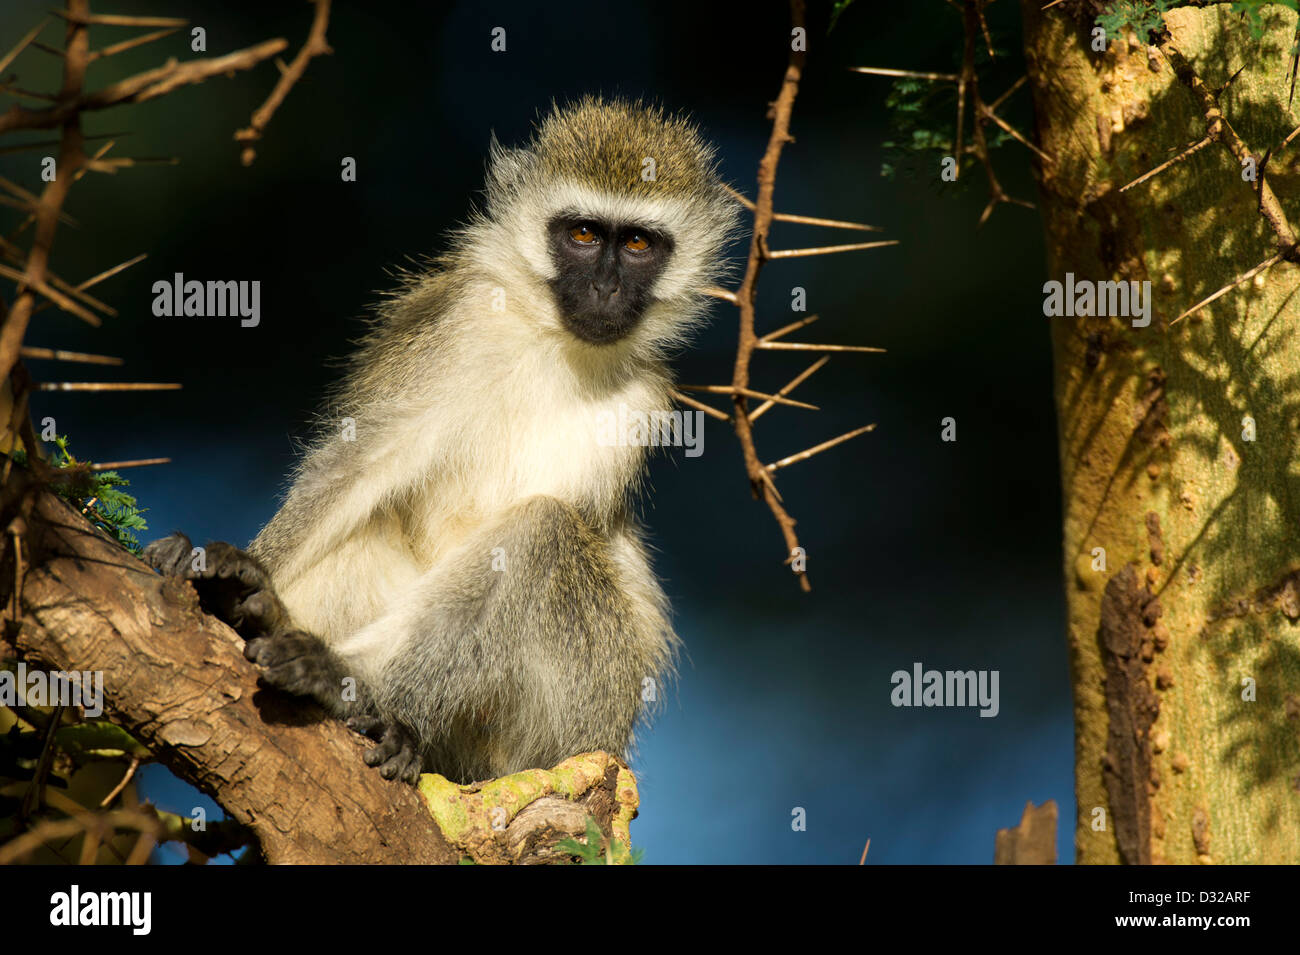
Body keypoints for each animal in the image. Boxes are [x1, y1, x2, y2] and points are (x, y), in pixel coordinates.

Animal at [144, 97, 739, 786]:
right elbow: (364, 464)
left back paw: (347, 684)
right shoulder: (459, 327)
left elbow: (575, 529)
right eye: (584, 235)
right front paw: (238, 575)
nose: (605, 289)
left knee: (543, 534)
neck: (553, 345)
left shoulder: (640, 400)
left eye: (639, 243)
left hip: (573, 722)